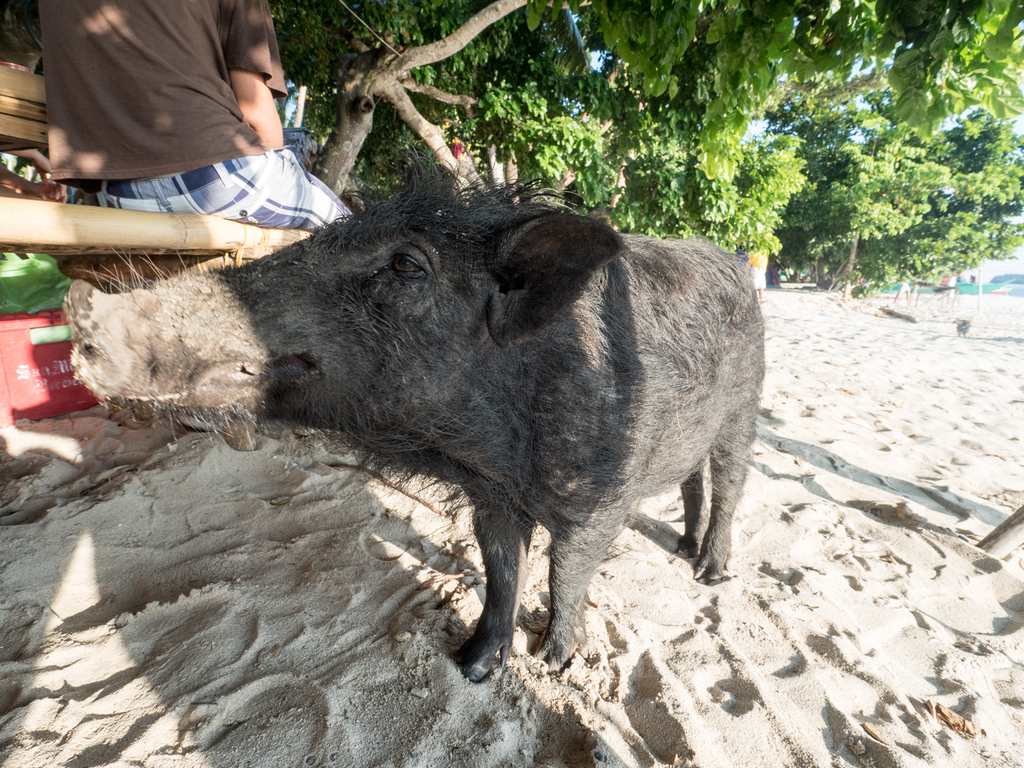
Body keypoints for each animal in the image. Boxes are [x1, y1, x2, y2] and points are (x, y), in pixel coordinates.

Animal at [65, 171, 764, 683]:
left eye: (406, 265)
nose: (81, 302)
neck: (483, 456)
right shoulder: (491, 499)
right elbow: (501, 569)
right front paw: (471, 668)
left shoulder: (598, 496)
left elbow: (568, 571)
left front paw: (555, 664)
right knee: (692, 482)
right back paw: (683, 549)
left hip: (745, 404)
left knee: (731, 482)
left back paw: (709, 572)